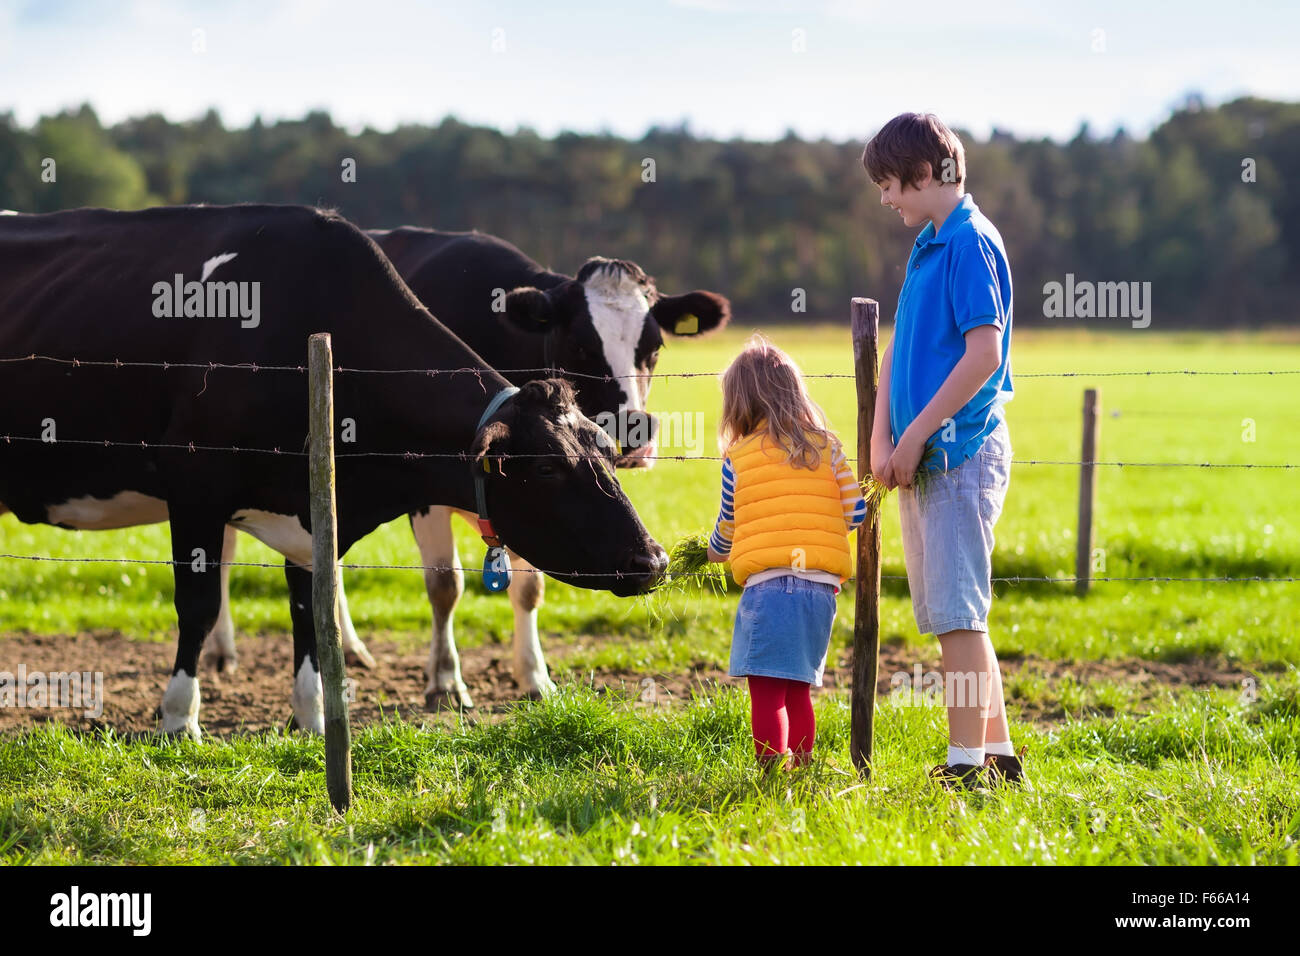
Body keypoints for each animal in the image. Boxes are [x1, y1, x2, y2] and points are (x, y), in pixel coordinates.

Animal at [0, 204, 667, 739]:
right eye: (549, 467)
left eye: (603, 451)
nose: (654, 560)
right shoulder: (193, 488)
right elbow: (196, 603)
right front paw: (179, 717)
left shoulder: (311, 504)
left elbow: (308, 608)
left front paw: (312, 716)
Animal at [207, 227, 730, 709]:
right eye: (582, 346)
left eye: (654, 348)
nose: (633, 430)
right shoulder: (430, 491)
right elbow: (445, 584)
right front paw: (445, 680)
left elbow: (529, 588)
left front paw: (534, 676)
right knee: (231, 550)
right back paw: (221, 650)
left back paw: (349, 647)